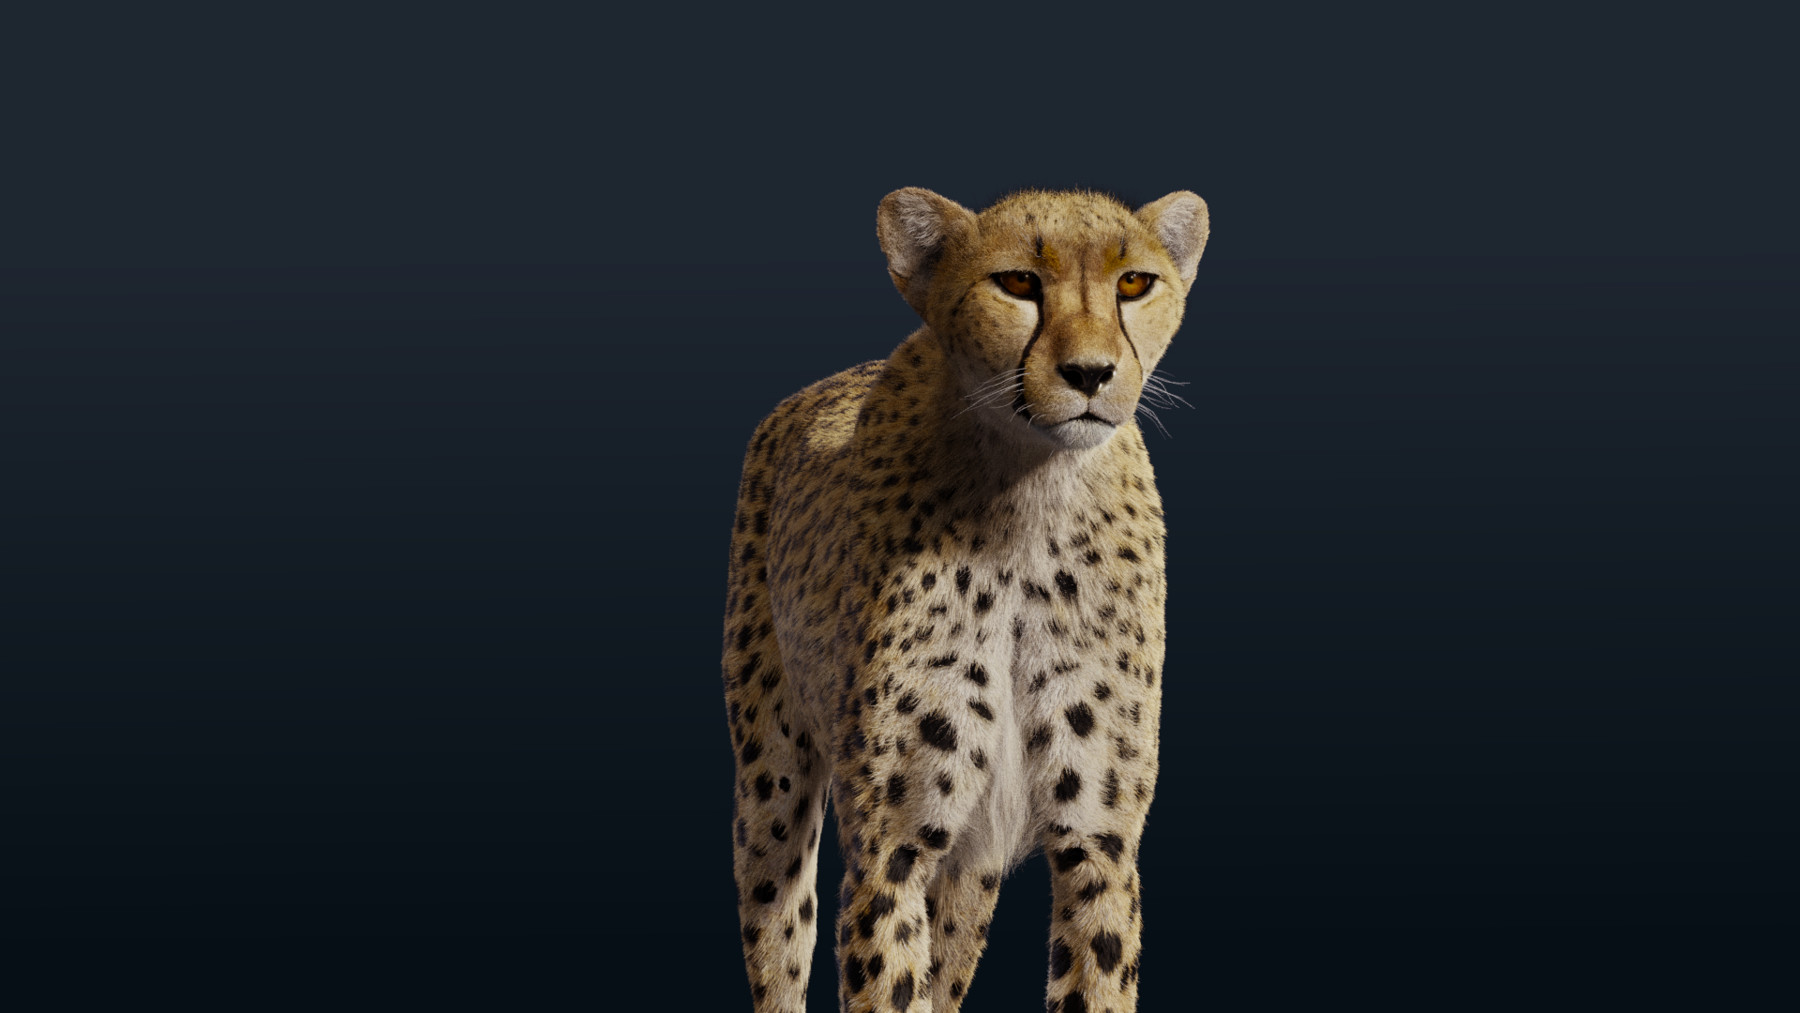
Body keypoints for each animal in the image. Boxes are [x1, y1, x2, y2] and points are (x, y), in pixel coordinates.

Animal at [722, 186, 1209, 1012]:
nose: (1091, 373)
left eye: (1135, 283)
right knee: (780, 927)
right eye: (1017, 283)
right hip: (771, 778)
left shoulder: (1099, 841)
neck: (1028, 502)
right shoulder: (891, 847)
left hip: (973, 855)